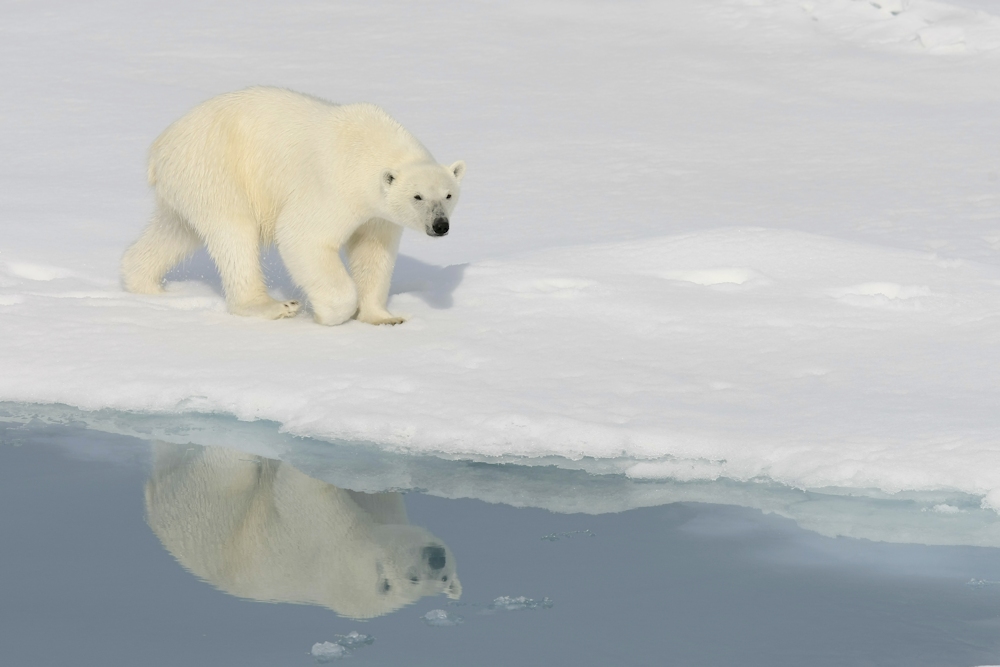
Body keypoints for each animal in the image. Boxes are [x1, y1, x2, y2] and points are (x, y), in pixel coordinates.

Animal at [123, 87, 466, 328]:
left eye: (448, 195)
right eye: (417, 196)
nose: (440, 226)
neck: (372, 146)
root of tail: (160, 146)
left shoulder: (378, 213)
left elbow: (373, 252)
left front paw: (384, 317)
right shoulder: (336, 186)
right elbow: (303, 236)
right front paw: (328, 315)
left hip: (187, 183)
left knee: (176, 230)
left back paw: (144, 284)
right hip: (217, 168)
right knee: (234, 233)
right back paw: (273, 306)